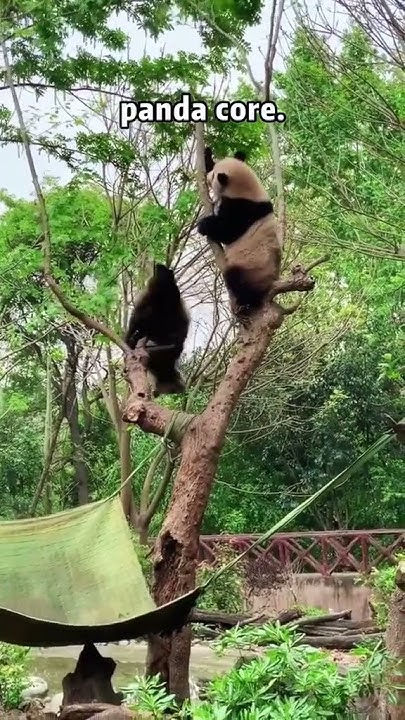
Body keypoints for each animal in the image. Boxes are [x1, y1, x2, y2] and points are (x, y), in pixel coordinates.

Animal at [197, 147, 282, 317]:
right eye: (213, 171)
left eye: (214, 175)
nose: (207, 177)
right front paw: (206, 154)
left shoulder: (242, 210)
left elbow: (227, 230)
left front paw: (203, 225)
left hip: (252, 268)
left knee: (236, 279)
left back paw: (246, 302)